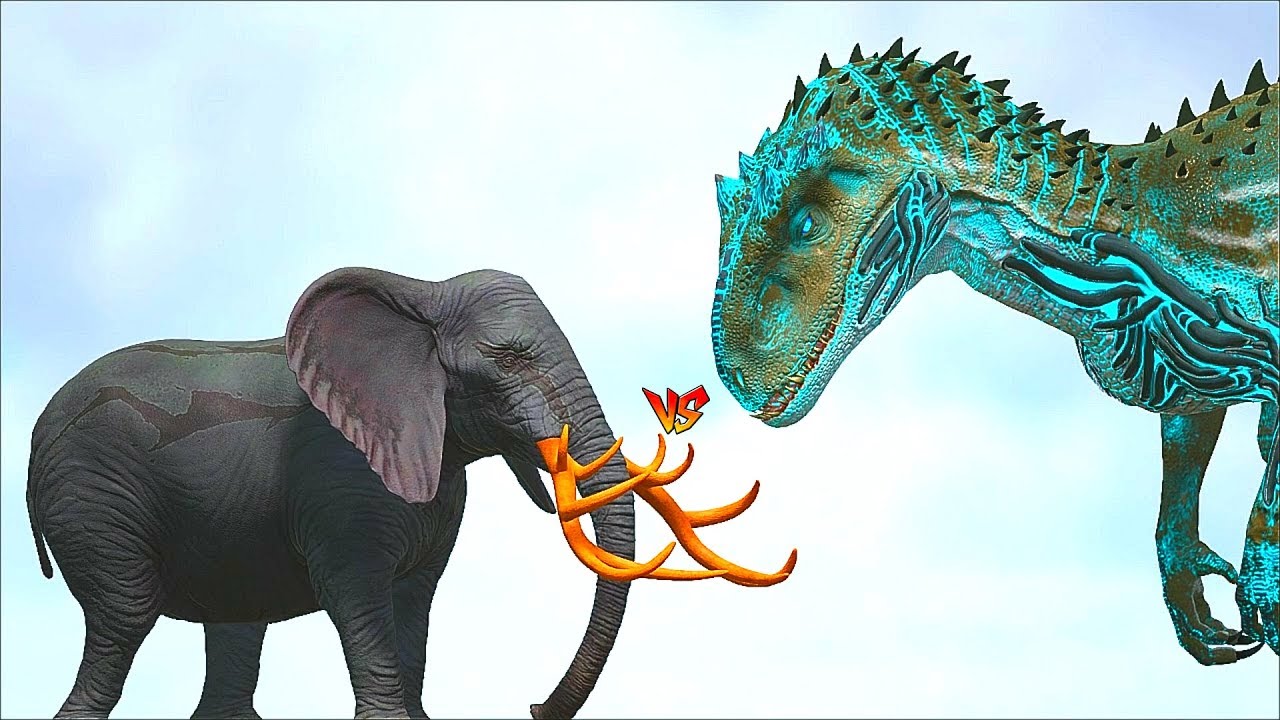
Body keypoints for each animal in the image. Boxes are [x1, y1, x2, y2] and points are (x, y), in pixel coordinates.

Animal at [25, 267, 643, 719]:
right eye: (509, 355)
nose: (534, 707)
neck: (420, 298)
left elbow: (413, 604)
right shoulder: (338, 484)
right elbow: (356, 595)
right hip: (91, 497)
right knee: (124, 618)